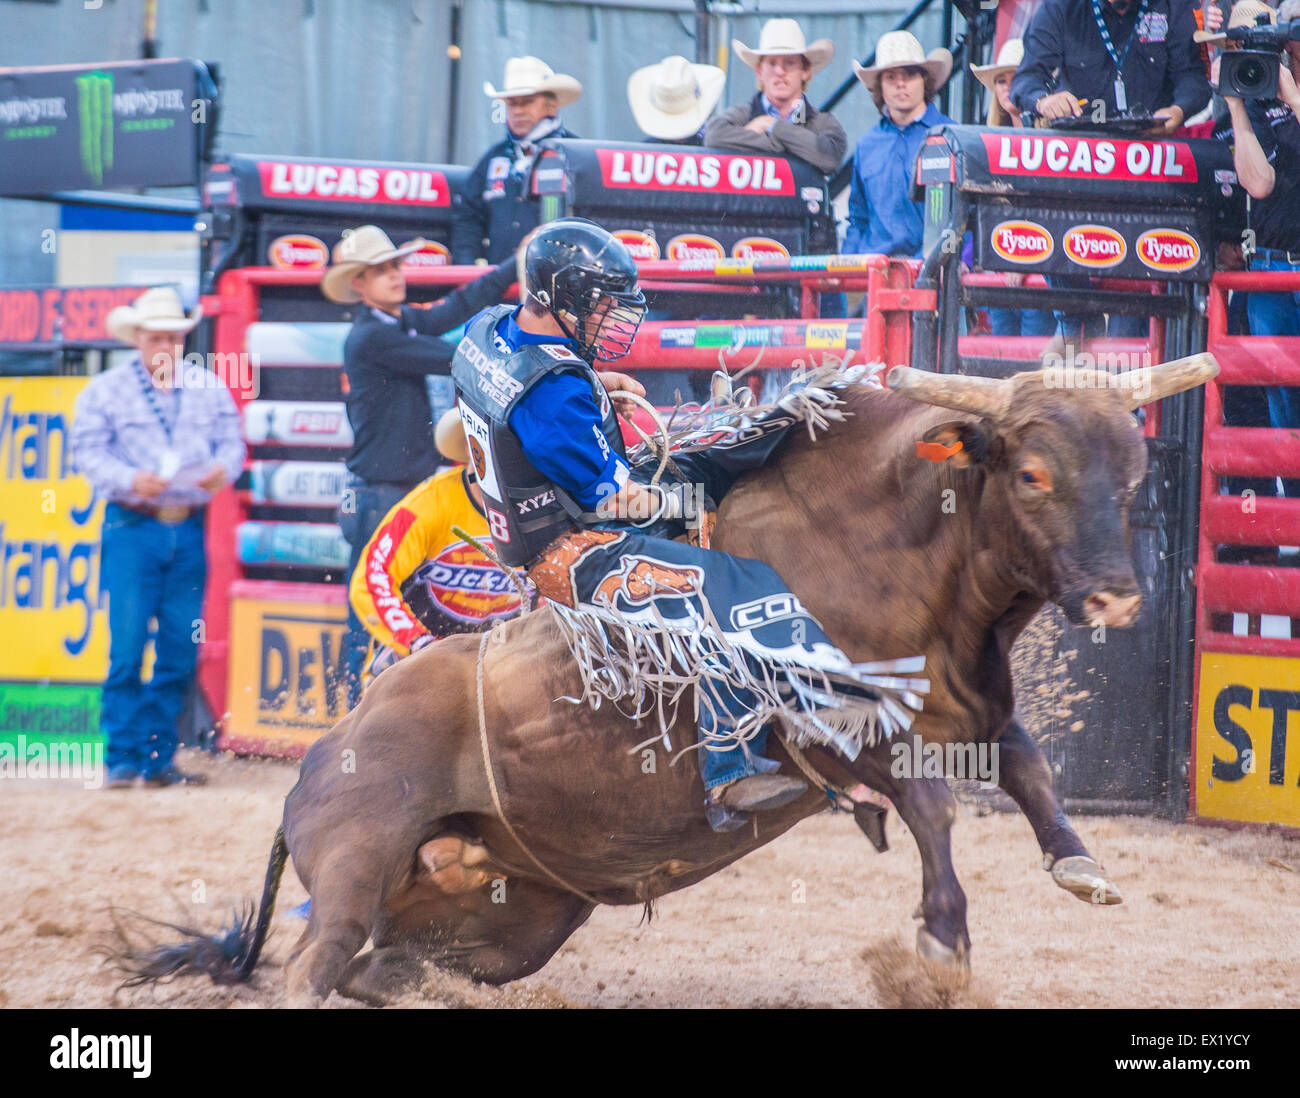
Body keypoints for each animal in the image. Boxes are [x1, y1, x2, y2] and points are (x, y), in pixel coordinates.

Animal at [116, 355, 1217, 1005]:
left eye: (1130, 479)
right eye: (1032, 473)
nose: (1118, 596)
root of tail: (319, 761)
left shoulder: (972, 705)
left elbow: (1028, 769)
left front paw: (1077, 862)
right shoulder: (822, 732)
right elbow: (931, 806)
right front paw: (940, 941)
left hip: (498, 921)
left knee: (380, 973)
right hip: (354, 855)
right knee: (312, 967)